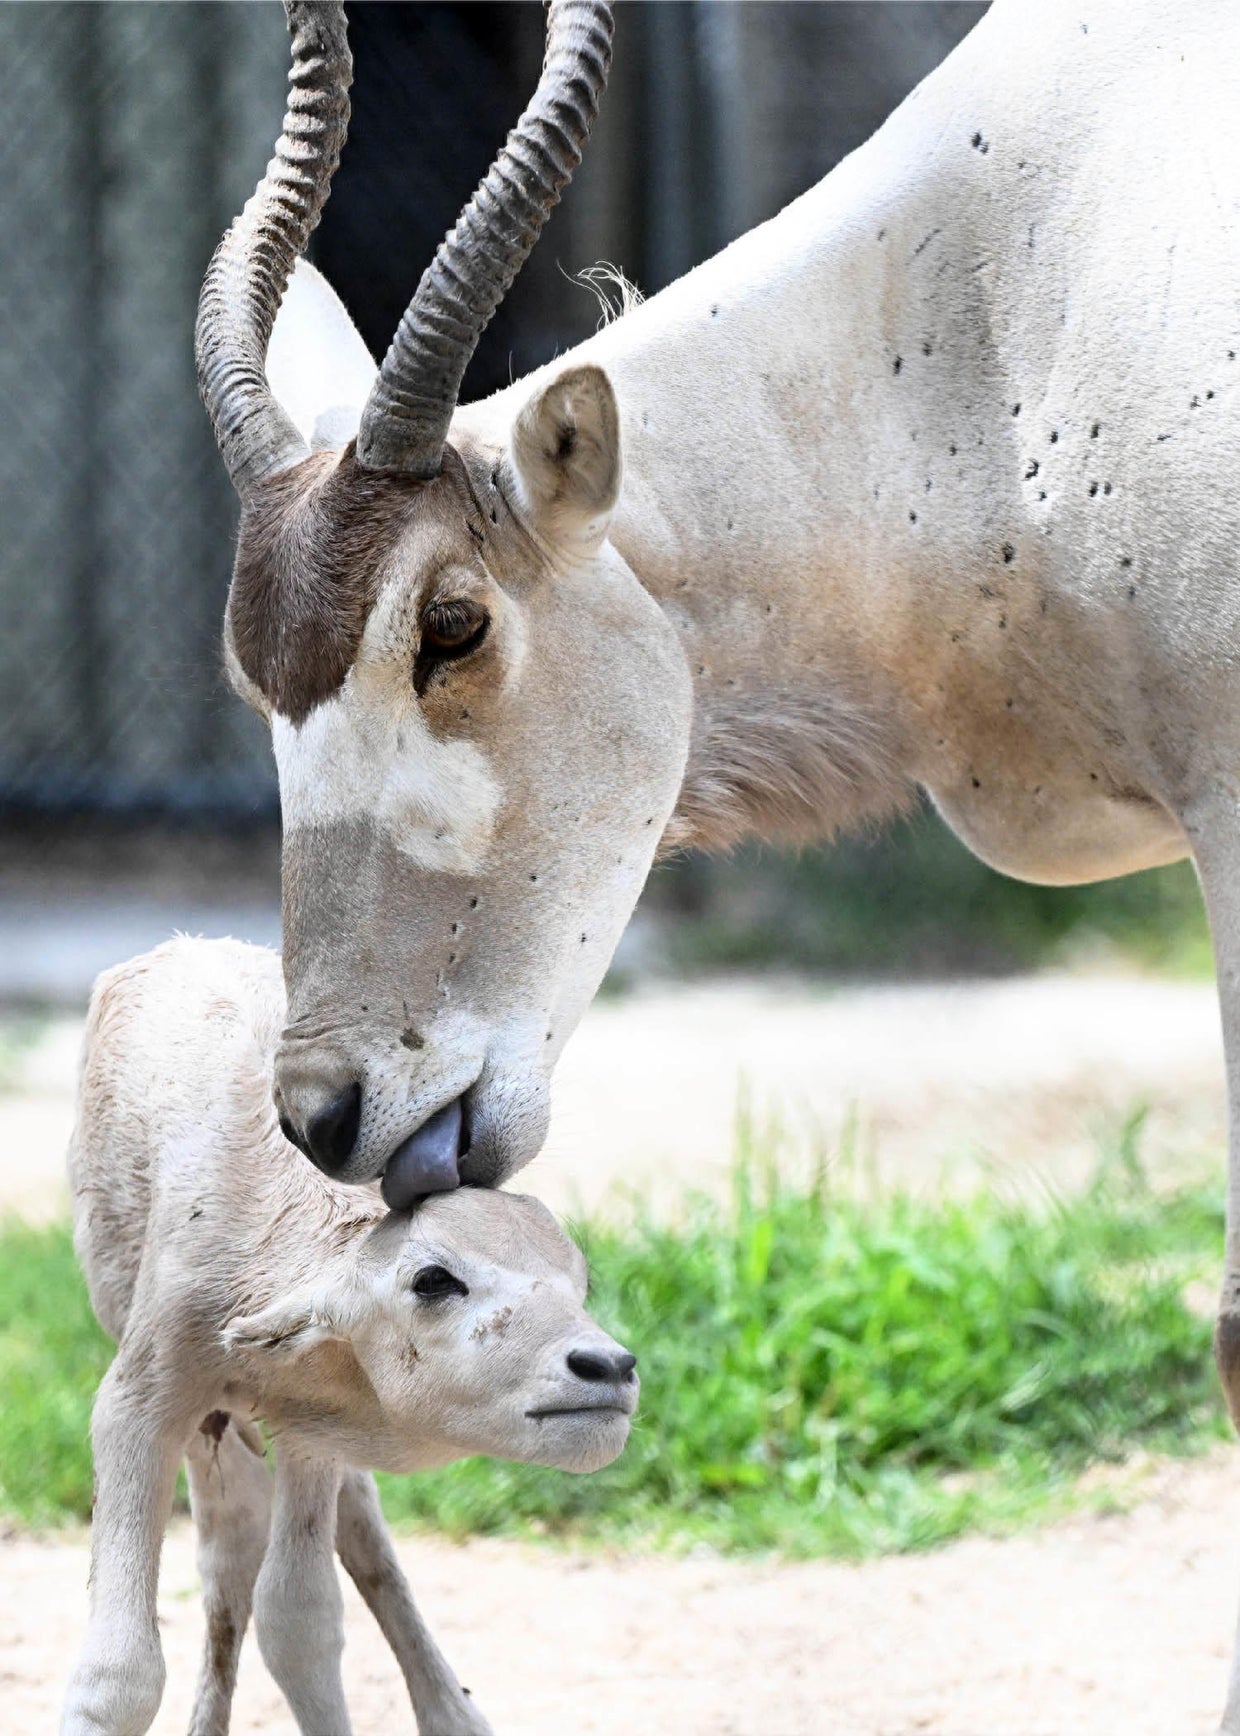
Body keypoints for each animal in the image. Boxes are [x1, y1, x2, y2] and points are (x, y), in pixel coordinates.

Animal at [62, 937, 636, 1736]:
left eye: (578, 1279)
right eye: (433, 1279)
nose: (607, 1366)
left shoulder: (313, 1420)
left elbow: (301, 1622)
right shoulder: (142, 1395)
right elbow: (118, 1673)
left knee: (348, 1545)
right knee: (227, 1555)